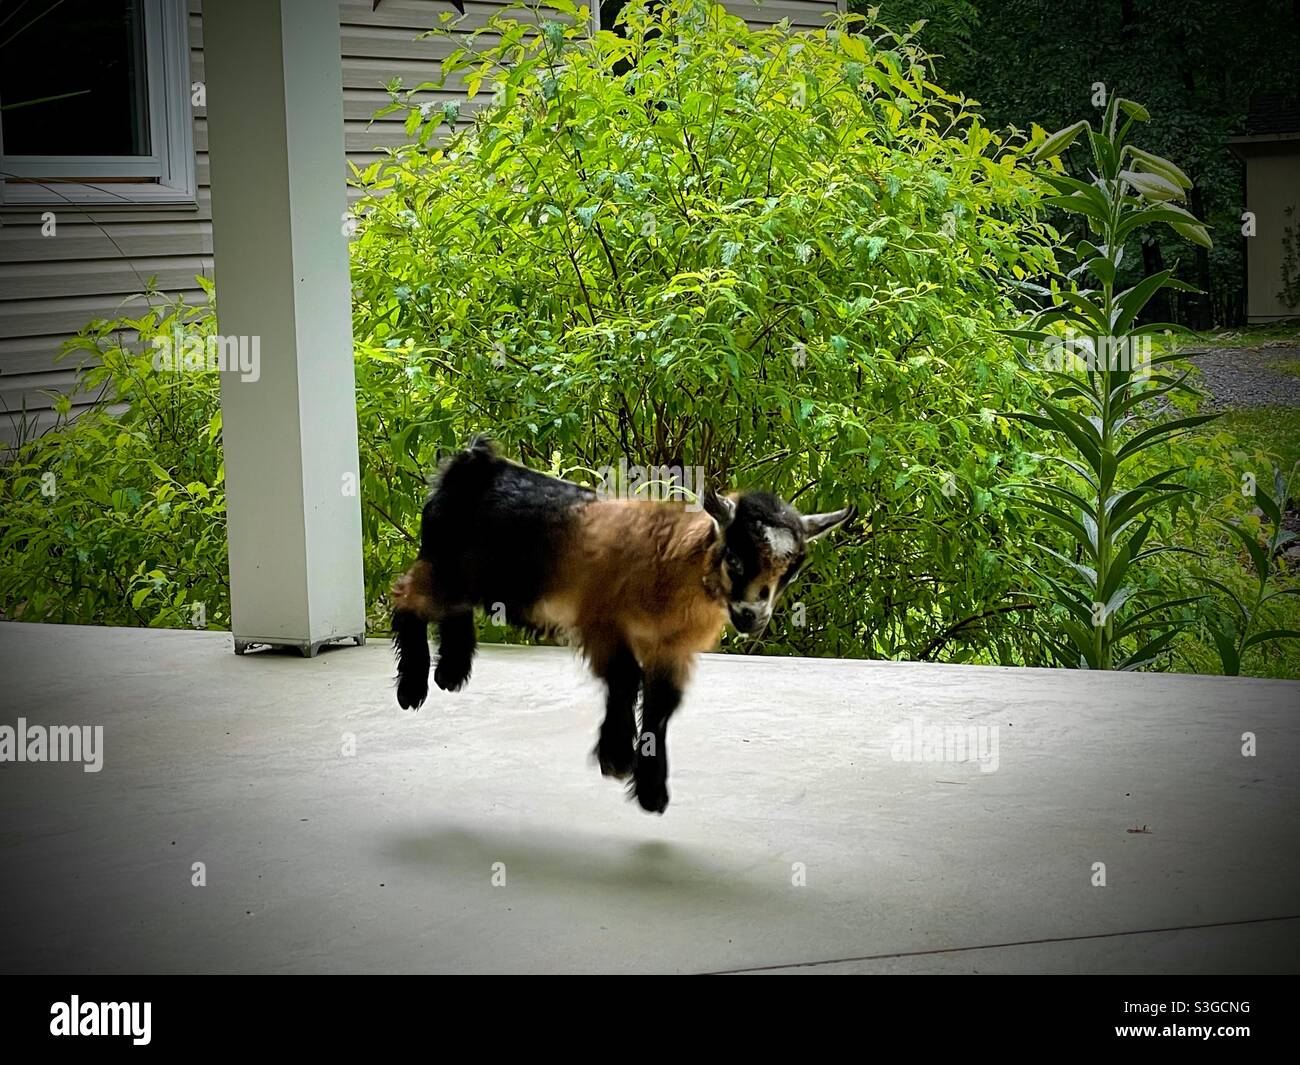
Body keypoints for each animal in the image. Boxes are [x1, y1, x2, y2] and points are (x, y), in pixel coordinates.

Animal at [391, 435, 855, 813]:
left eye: (788, 574)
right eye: (736, 558)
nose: (751, 618)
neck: (676, 565)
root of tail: (475, 462)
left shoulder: (672, 647)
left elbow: (662, 706)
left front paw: (651, 790)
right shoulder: (602, 623)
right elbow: (625, 679)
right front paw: (615, 757)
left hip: (464, 574)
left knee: (449, 608)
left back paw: (451, 674)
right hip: (447, 565)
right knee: (408, 598)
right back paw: (412, 688)